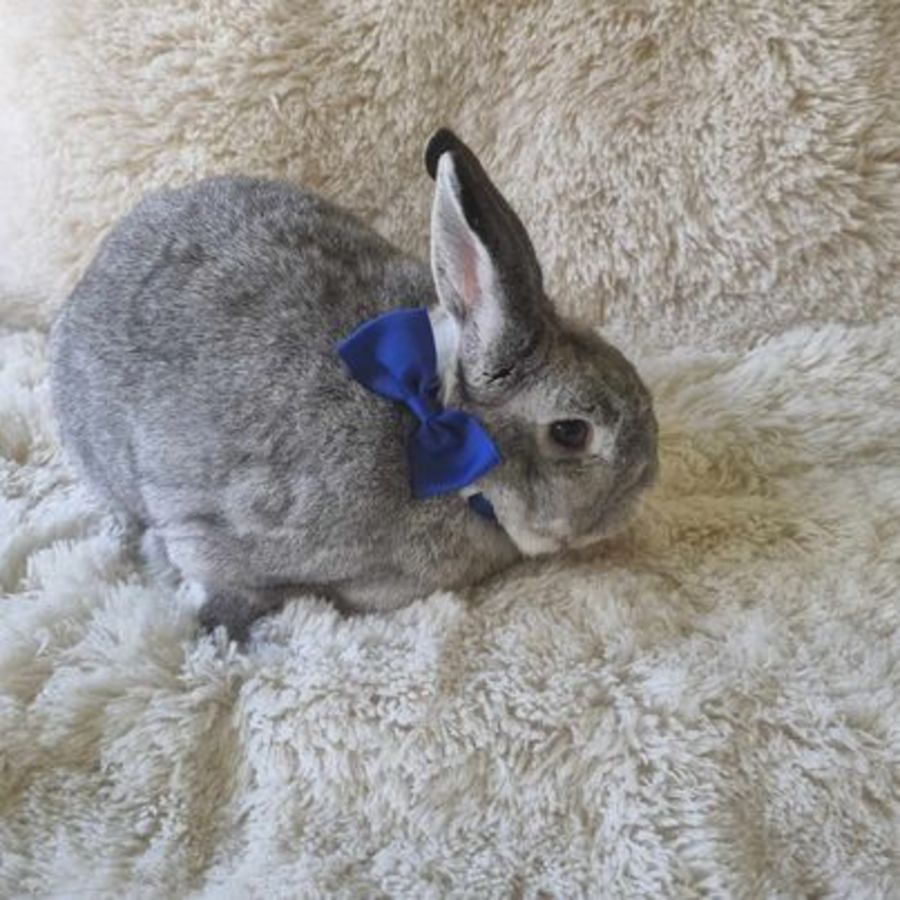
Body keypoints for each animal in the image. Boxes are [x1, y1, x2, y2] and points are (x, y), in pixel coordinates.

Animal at [49, 129, 658, 641]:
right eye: (572, 432)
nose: (648, 480)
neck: (436, 423)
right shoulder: (226, 537)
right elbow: (219, 574)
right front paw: (219, 623)